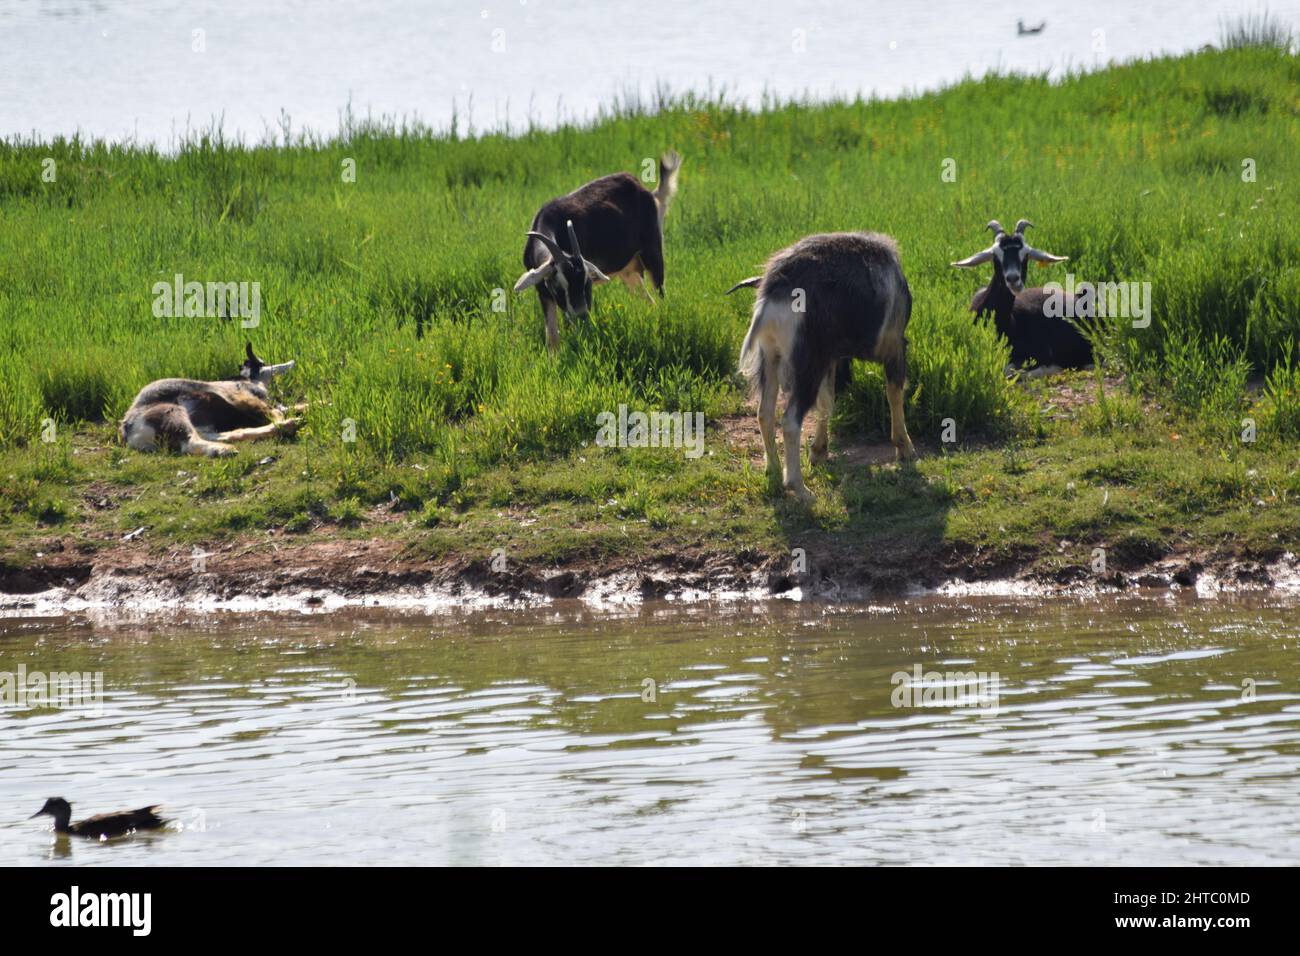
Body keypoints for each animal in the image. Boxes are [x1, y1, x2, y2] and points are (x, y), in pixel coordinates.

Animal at [119, 343, 304, 457]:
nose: (292, 363)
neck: (247, 380)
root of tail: (126, 427)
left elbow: (293, 406)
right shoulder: (245, 400)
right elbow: (278, 412)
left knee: (226, 434)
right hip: (173, 413)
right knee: (191, 443)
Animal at [513, 150, 681, 350]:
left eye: (586, 281)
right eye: (558, 285)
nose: (582, 315)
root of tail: (646, 191)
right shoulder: (543, 291)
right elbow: (552, 337)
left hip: (653, 252)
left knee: (660, 294)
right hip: (629, 272)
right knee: (650, 300)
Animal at [728, 232, 916, 501]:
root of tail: (774, 295)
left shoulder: (831, 359)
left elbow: (827, 401)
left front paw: (818, 452)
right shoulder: (894, 347)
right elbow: (894, 393)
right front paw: (905, 448)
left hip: (771, 358)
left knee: (764, 412)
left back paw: (773, 471)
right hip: (807, 365)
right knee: (790, 421)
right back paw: (799, 488)